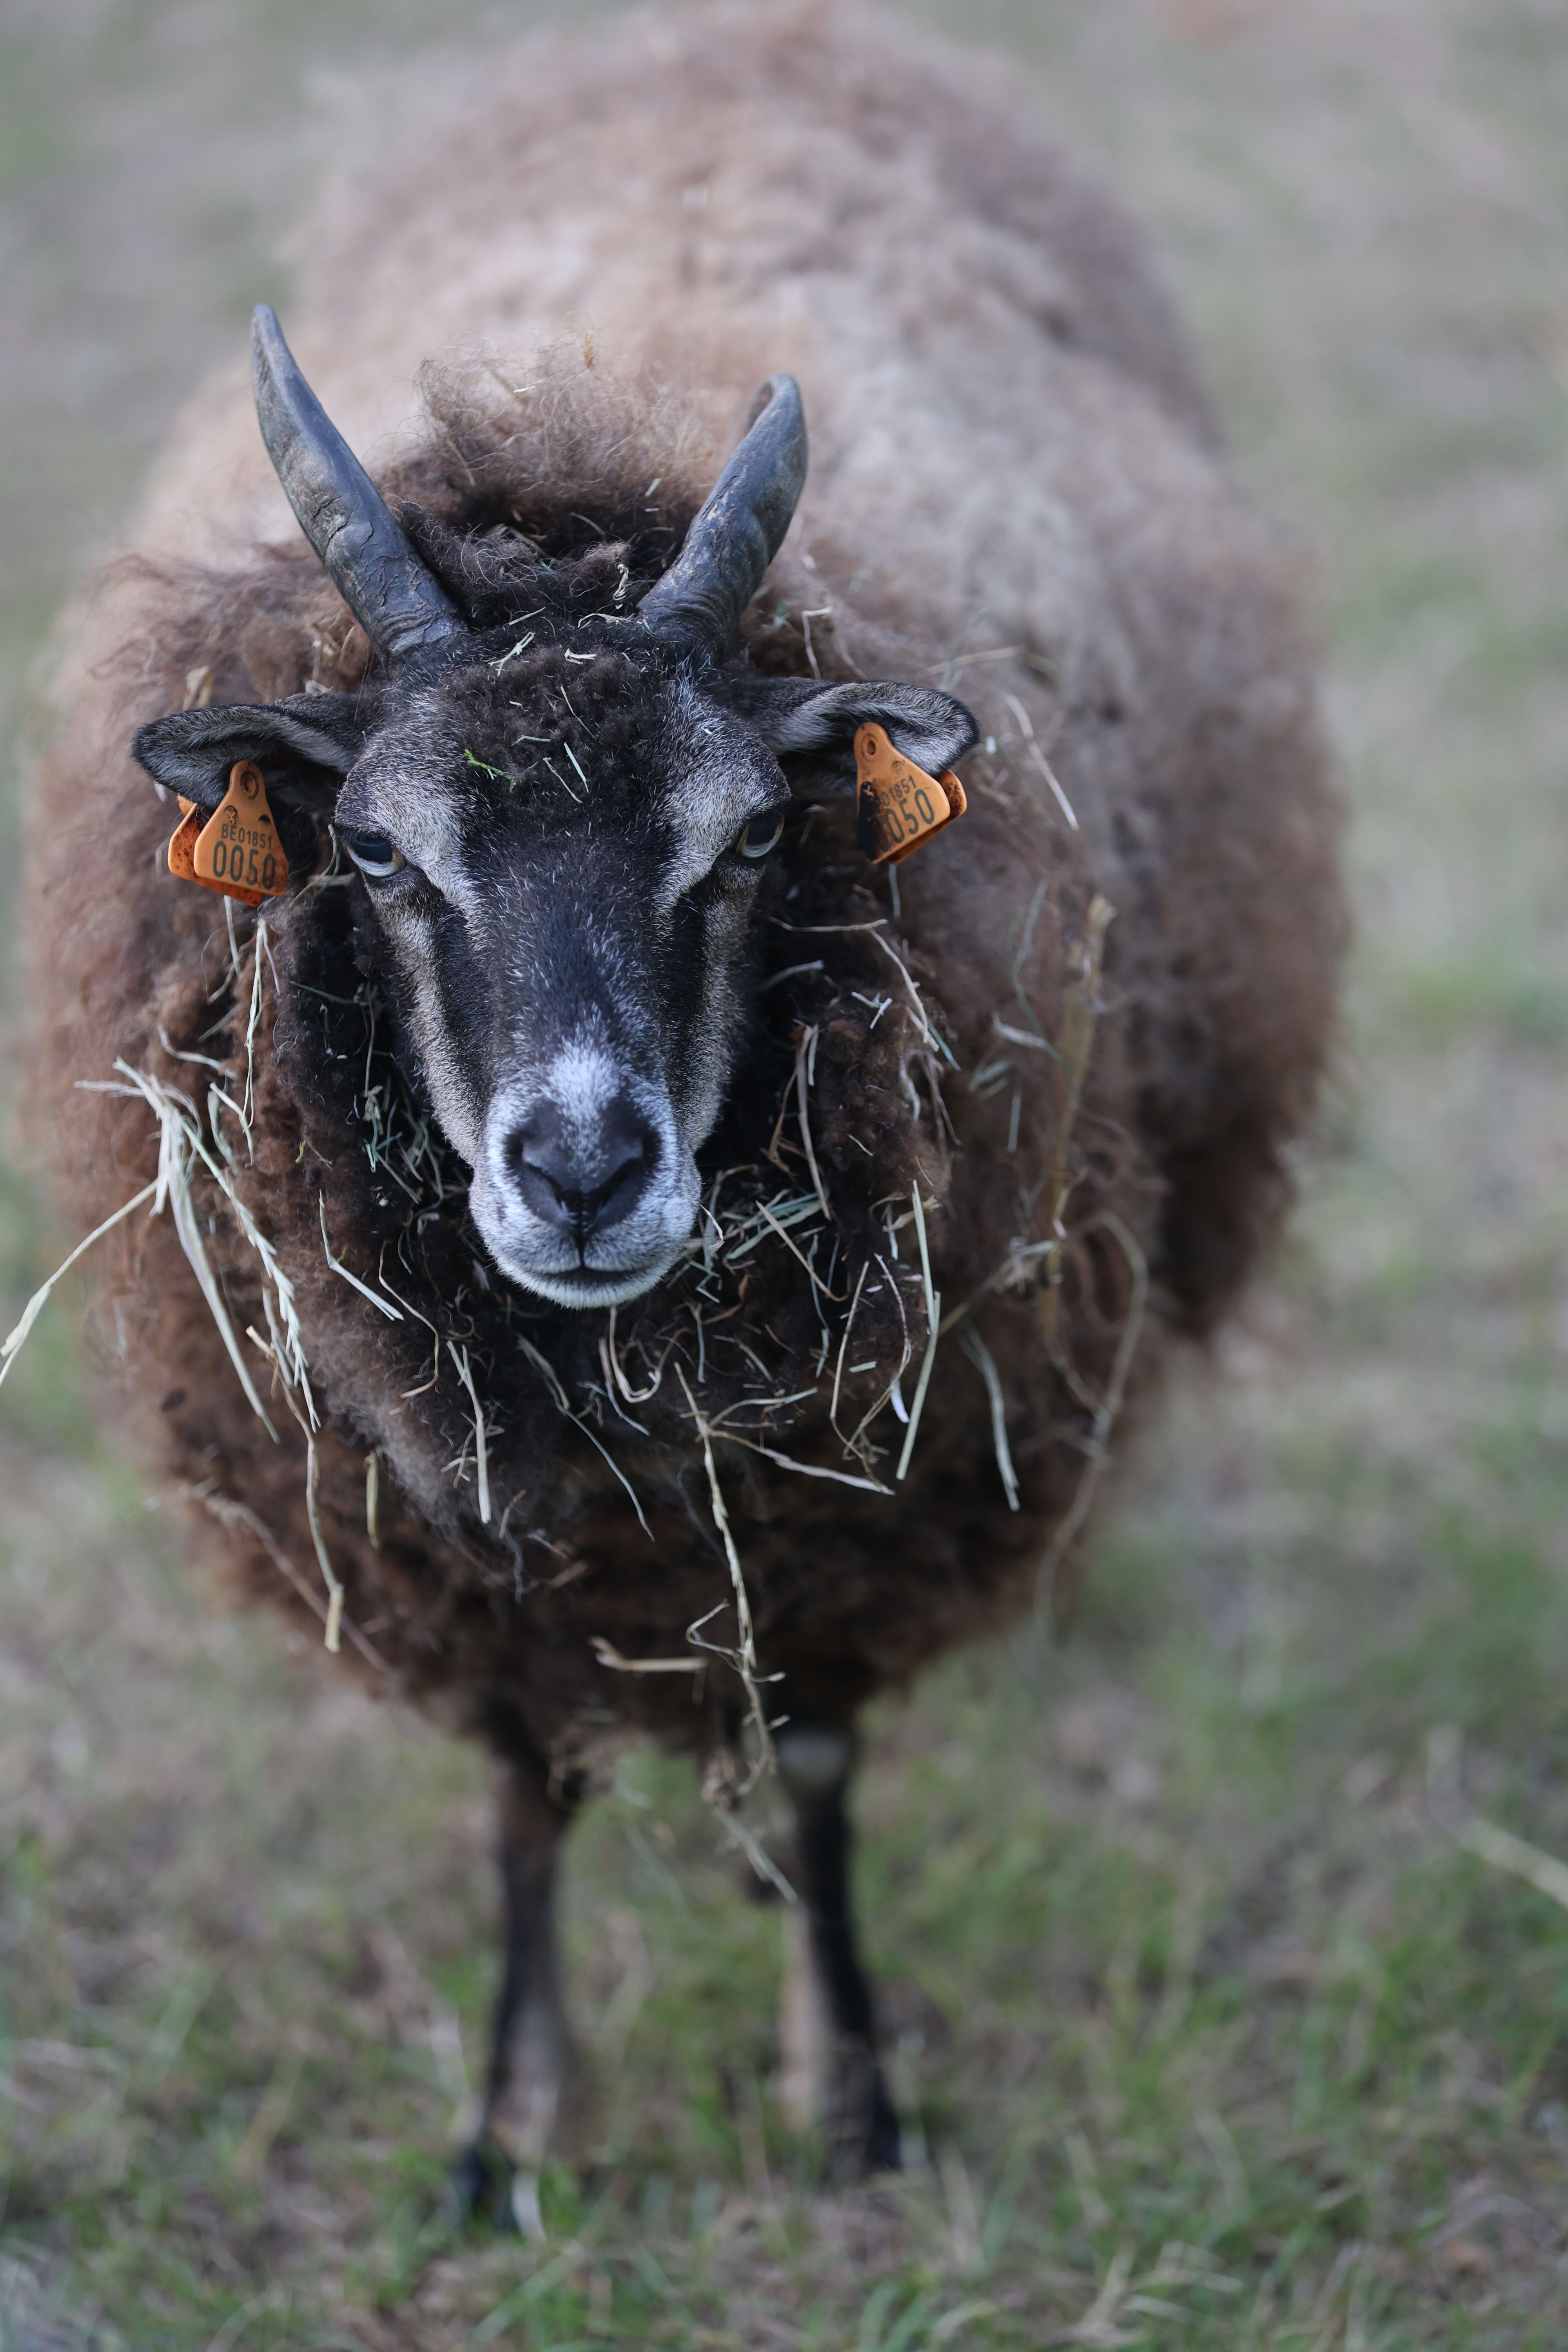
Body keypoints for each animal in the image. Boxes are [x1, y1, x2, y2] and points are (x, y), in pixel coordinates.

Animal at [24, 0, 1344, 2227]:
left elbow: (809, 1769)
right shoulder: (443, 1529)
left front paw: (854, 2095)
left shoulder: (853, 1497)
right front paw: (505, 2129)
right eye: (373, 853)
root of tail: (737, 27)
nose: (580, 1169)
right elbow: (518, 1796)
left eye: (743, 843)